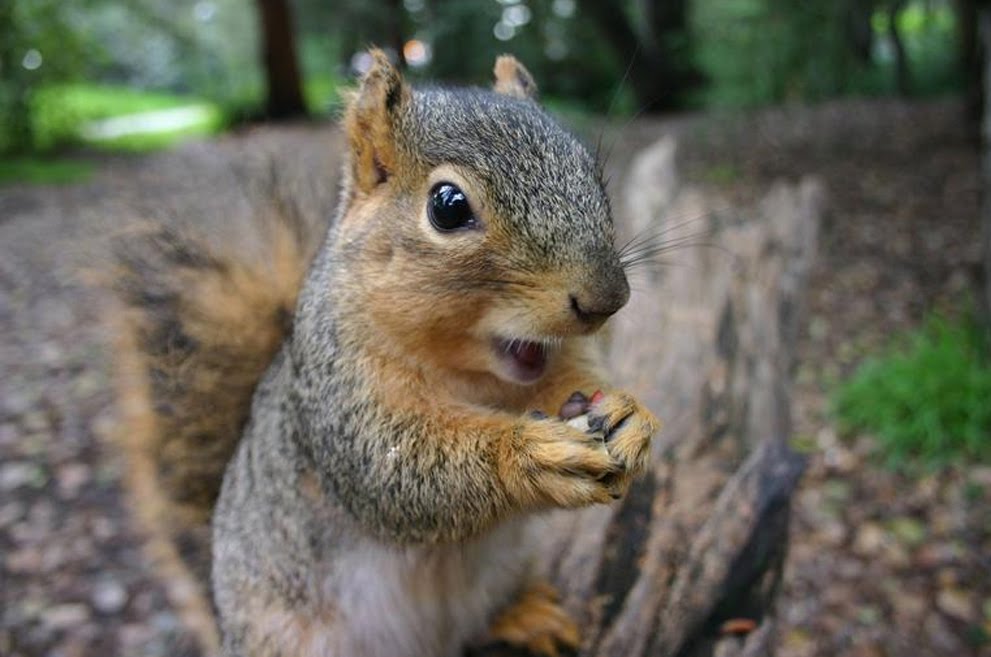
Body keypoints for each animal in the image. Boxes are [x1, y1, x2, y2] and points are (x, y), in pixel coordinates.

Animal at [109, 50, 660, 657]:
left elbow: (577, 379)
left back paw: (526, 614)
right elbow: (393, 468)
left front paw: (629, 416)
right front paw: (526, 454)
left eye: (591, 173)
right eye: (448, 207)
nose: (607, 299)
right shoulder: (336, 395)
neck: (469, 375)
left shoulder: (557, 361)